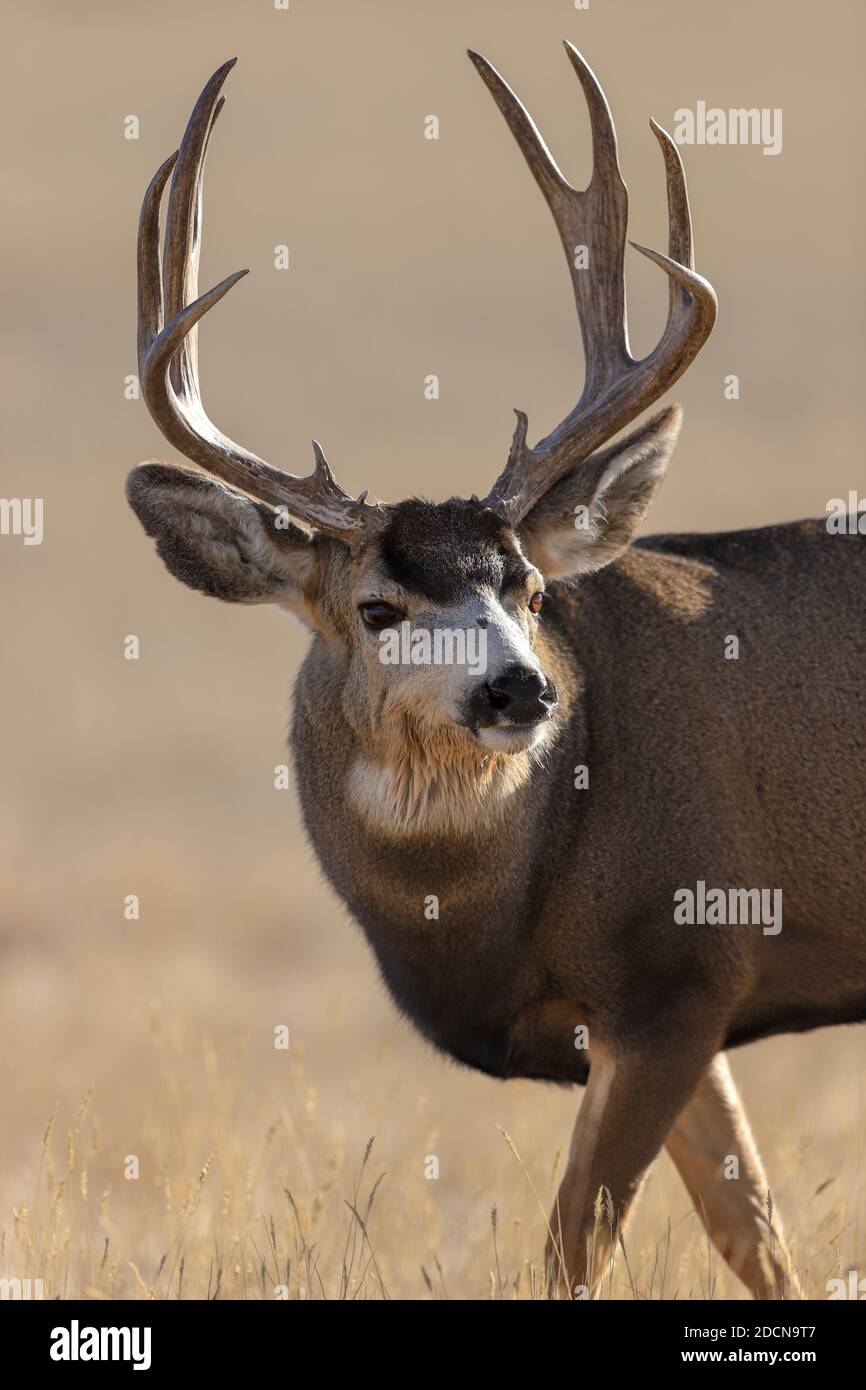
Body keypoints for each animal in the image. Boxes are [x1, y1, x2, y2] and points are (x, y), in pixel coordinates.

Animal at [126, 49, 866, 1300]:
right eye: (374, 606)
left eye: (526, 589)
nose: (521, 691)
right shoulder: (667, 1007)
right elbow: (753, 1230)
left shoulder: (681, 966)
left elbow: (578, 1240)